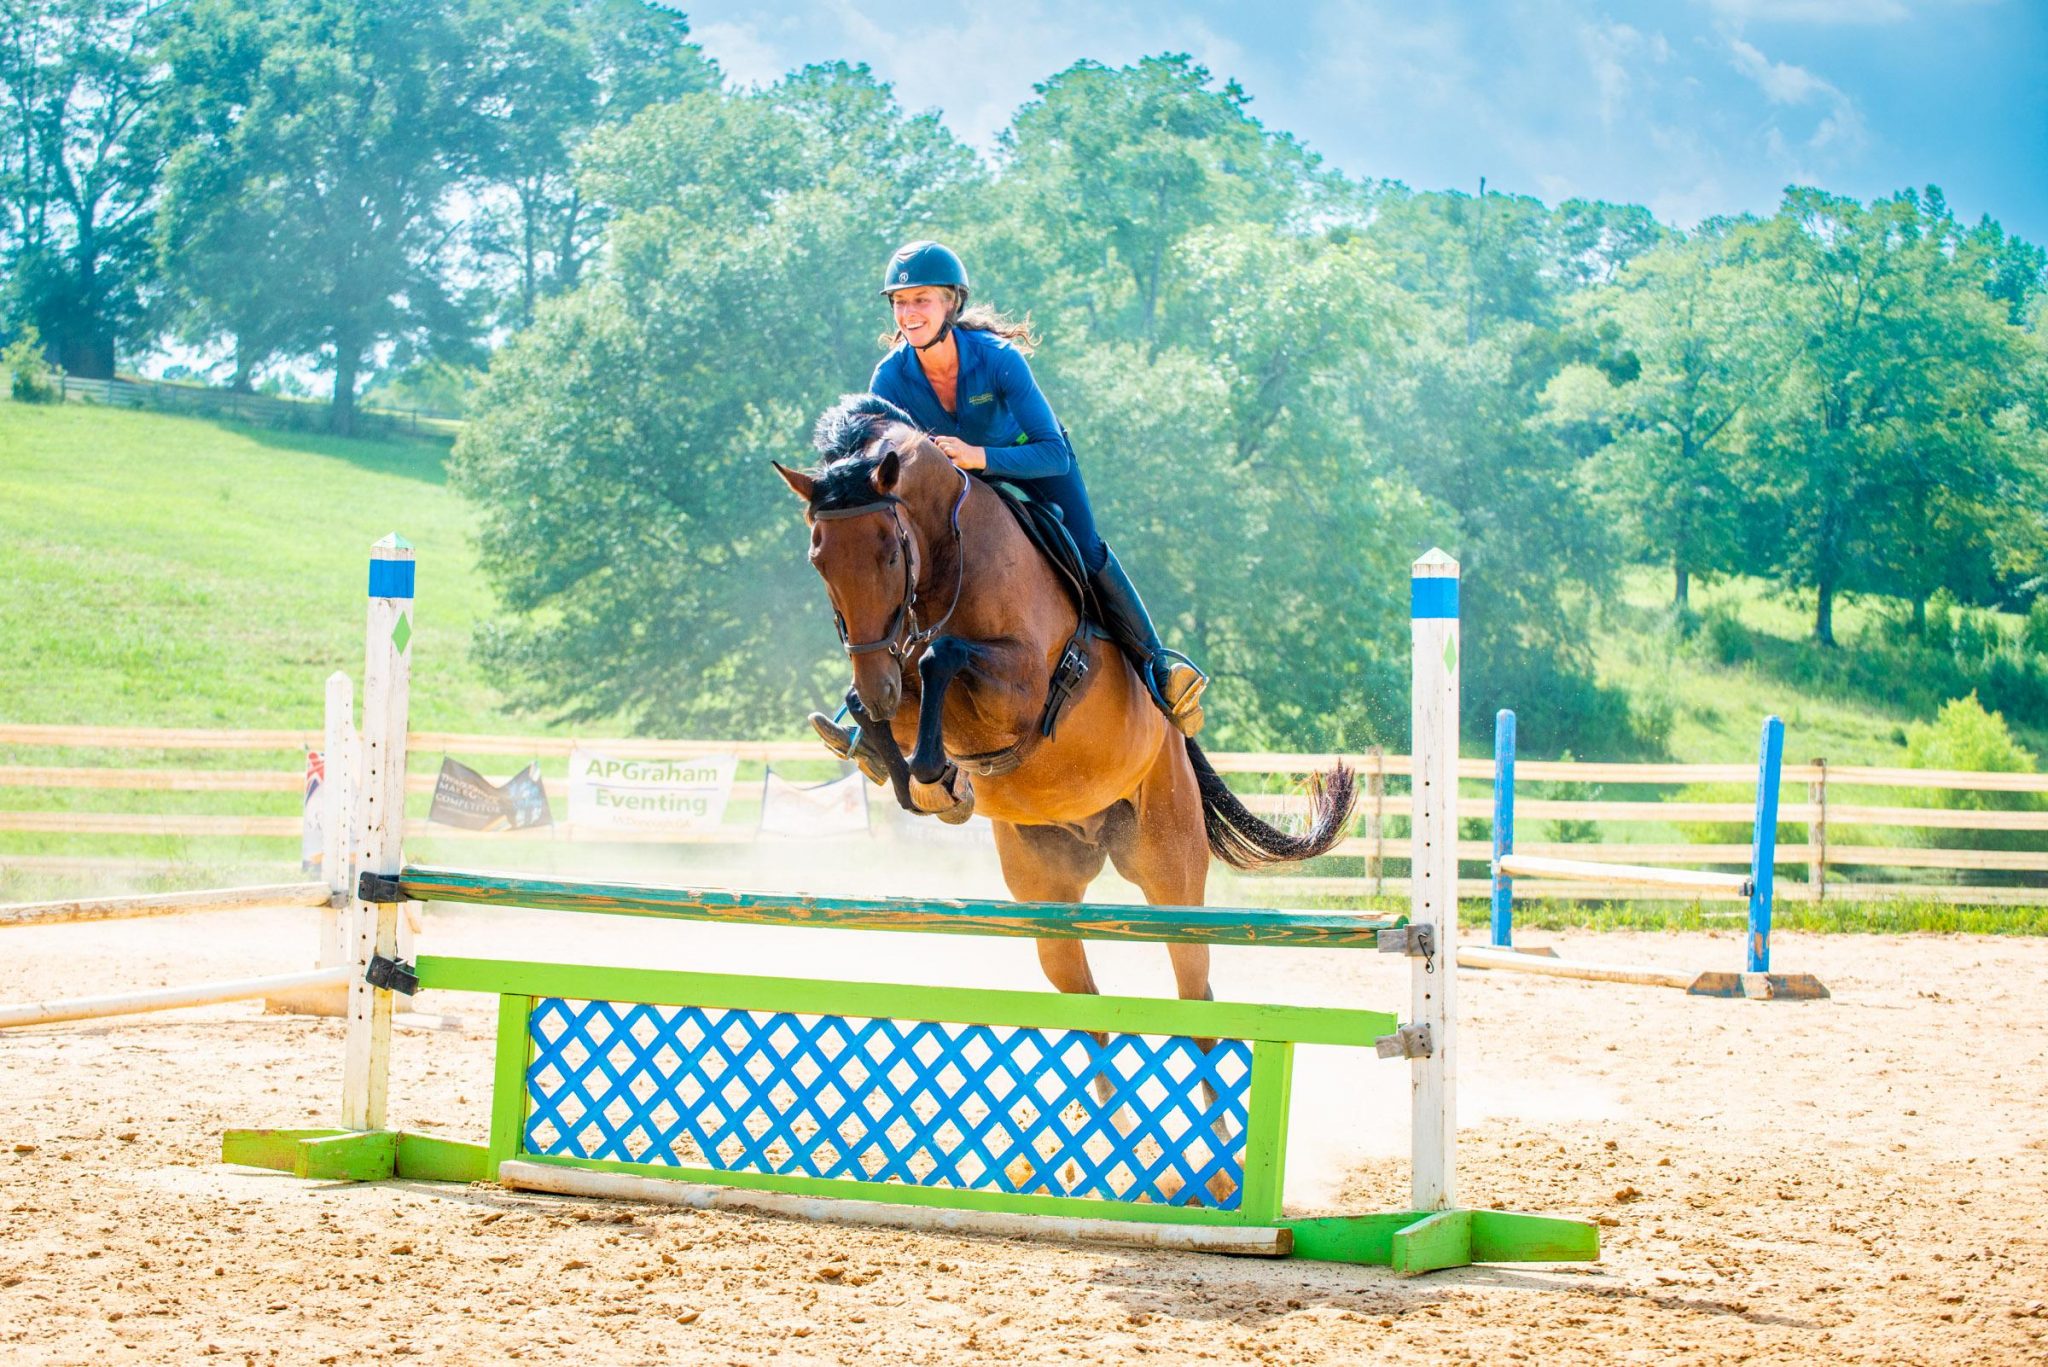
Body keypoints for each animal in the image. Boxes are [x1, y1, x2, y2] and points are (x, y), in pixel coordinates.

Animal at [773, 394, 1357, 1017]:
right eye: (818, 561)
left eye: (889, 555)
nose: (878, 682)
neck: (947, 558)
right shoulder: (899, 679)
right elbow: (879, 703)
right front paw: (915, 771)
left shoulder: (1020, 690)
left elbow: (941, 658)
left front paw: (935, 779)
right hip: (1047, 890)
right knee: (1083, 995)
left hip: (1170, 870)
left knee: (1192, 985)